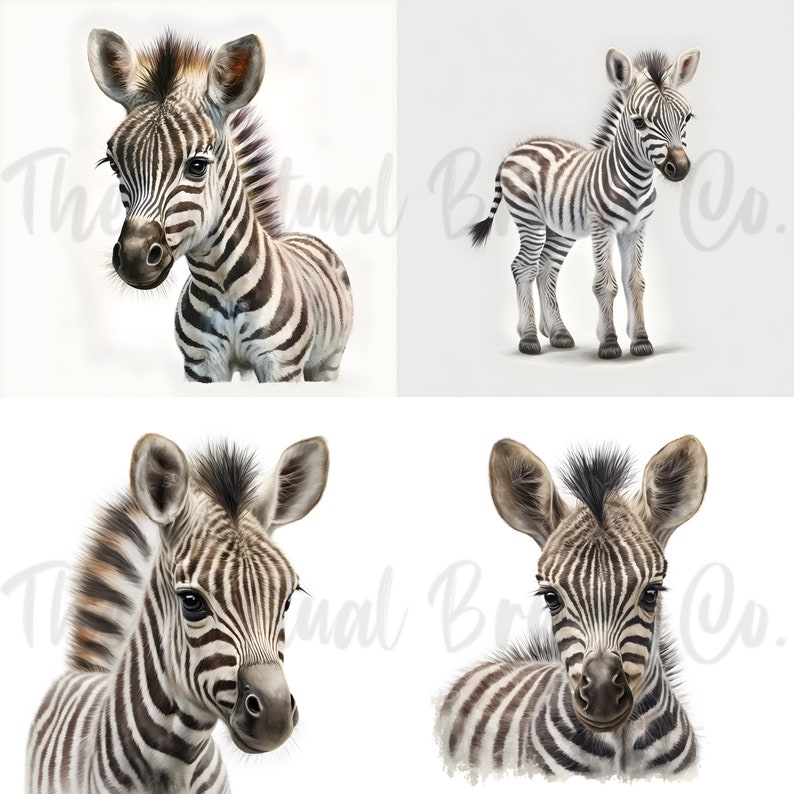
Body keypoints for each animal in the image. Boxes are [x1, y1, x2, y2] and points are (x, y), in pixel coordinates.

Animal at [87, 29, 353, 382]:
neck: (220, 281)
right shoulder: (201, 366)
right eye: (114, 166)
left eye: (197, 166)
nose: (133, 259)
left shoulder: (282, 367)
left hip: (329, 362)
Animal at [469, 48, 701, 359]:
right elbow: (605, 285)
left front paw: (640, 340)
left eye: (686, 118)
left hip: (560, 231)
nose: (681, 168)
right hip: (530, 219)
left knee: (545, 268)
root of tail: (515, 150)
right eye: (639, 122)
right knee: (523, 267)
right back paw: (528, 337)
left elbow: (635, 282)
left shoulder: (636, 229)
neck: (635, 181)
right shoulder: (602, 227)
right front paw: (610, 343)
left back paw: (557, 333)